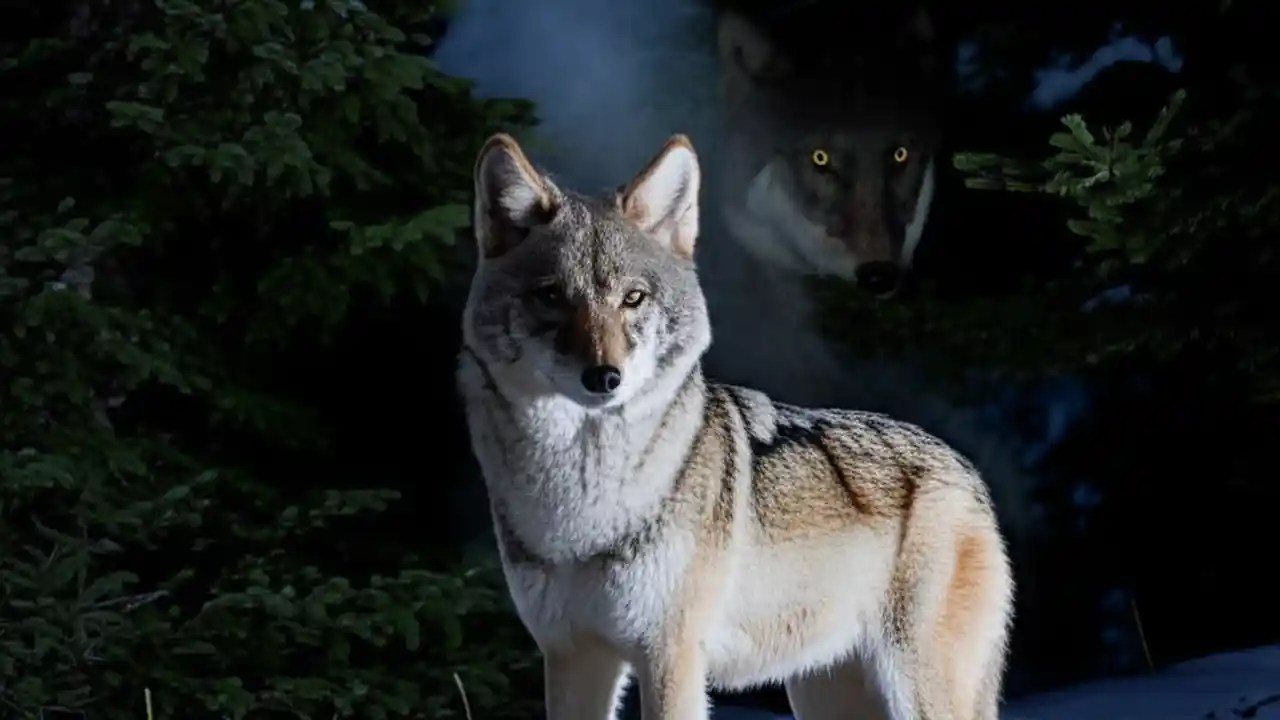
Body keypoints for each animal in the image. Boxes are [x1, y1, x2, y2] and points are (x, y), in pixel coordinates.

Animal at [456, 132, 1014, 720]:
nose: (604, 377)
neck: (579, 507)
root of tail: (967, 471)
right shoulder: (571, 656)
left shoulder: (671, 658)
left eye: (633, 298)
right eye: (551, 296)